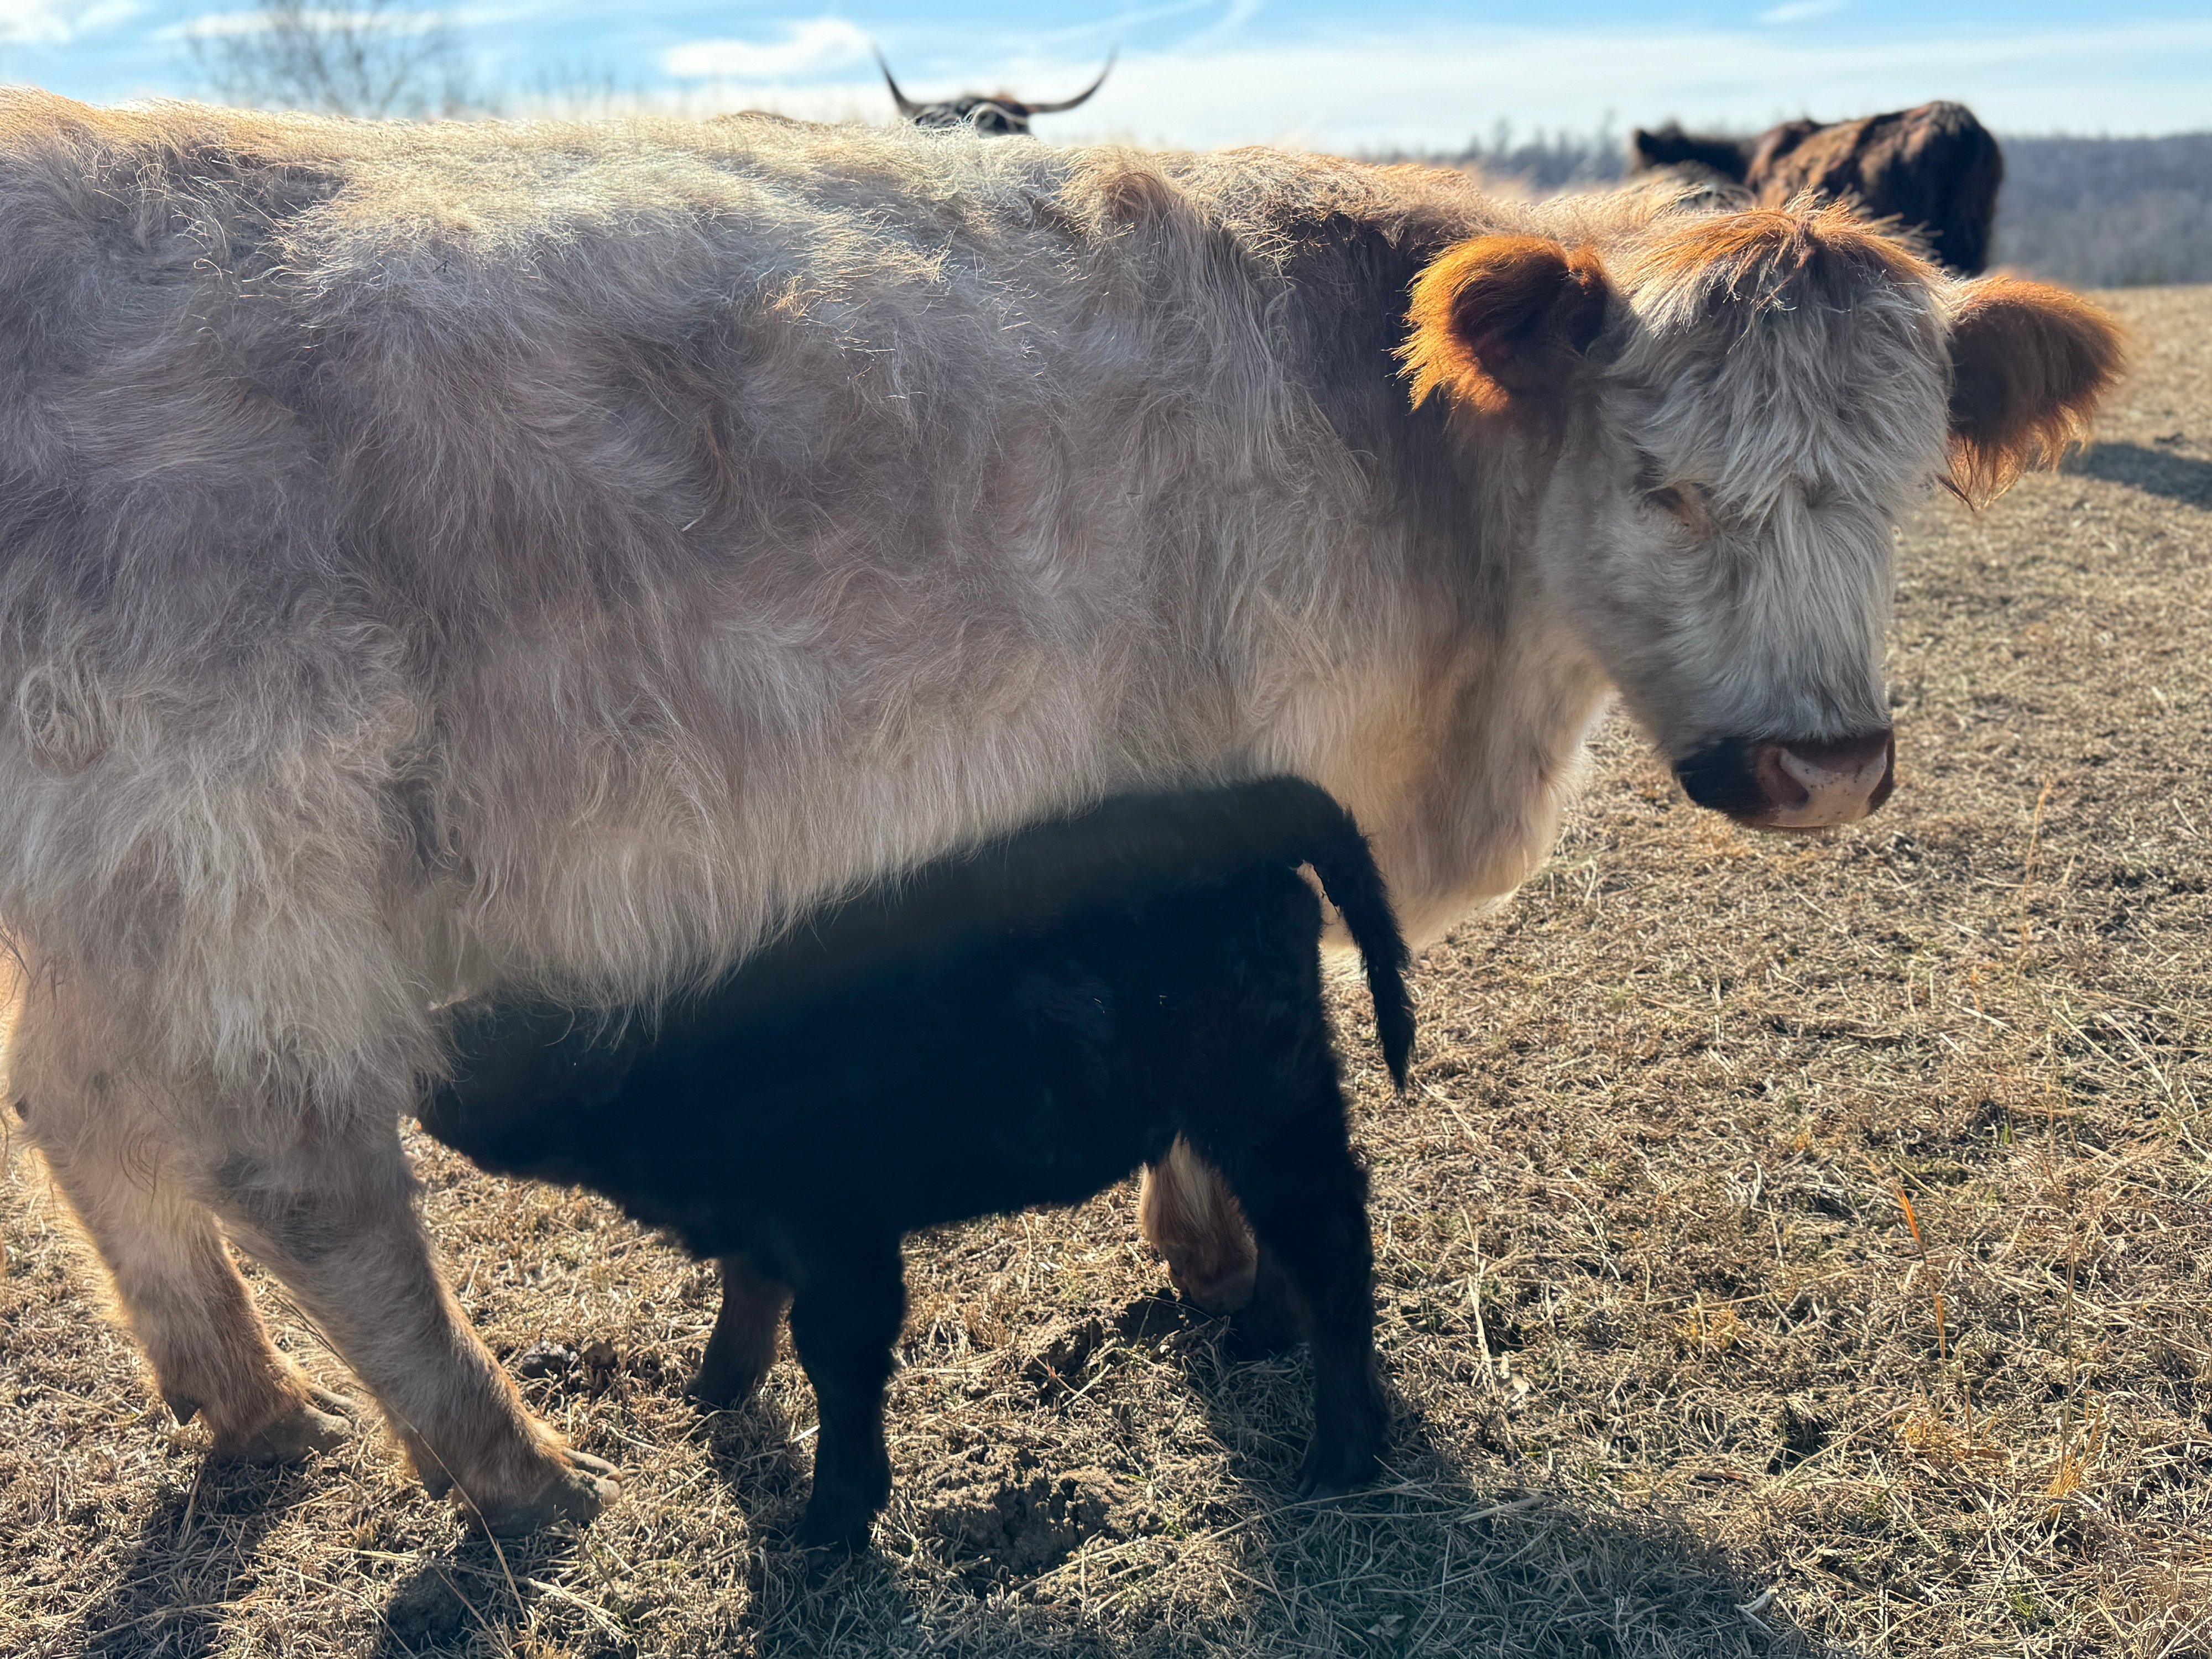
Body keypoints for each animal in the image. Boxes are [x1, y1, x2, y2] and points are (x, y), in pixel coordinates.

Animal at [420, 778, 1413, 1549]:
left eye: (522, 1030)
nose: (428, 1058)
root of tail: (1253, 807)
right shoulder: (768, 1224)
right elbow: (748, 1298)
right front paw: (713, 1395)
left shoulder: (843, 1234)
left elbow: (836, 1357)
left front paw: (828, 1526)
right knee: (1294, 1228)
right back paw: (1262, 1337)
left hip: (1264, 1095)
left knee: (1330, 1234)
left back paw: (1341, 1454)